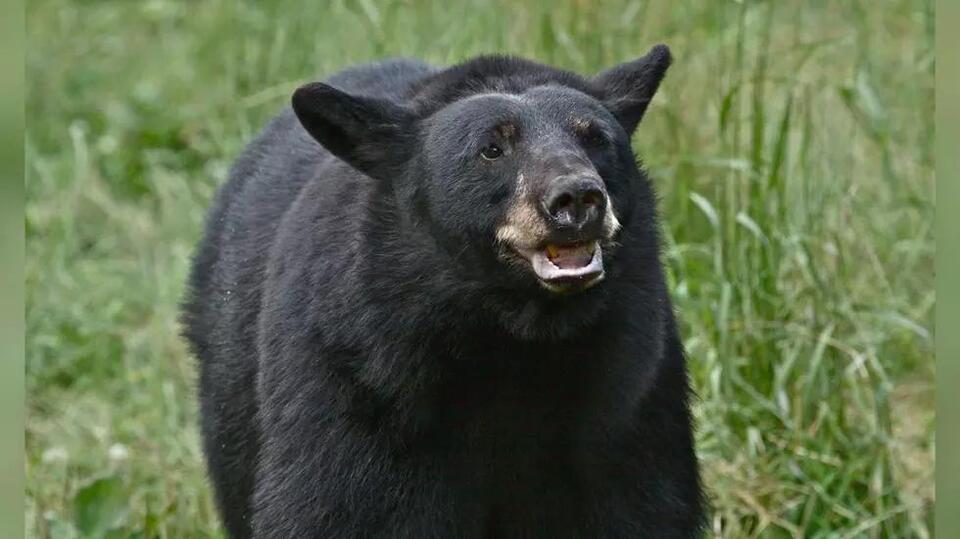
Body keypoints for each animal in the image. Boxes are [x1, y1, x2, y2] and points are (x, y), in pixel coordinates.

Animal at [181, 45, 704, 538]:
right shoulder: (357, 378)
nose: (578, 198)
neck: (512, 333)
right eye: (491, 148)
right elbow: (343, 511)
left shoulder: (625, 393)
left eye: (595, 137)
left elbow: (633, 506)